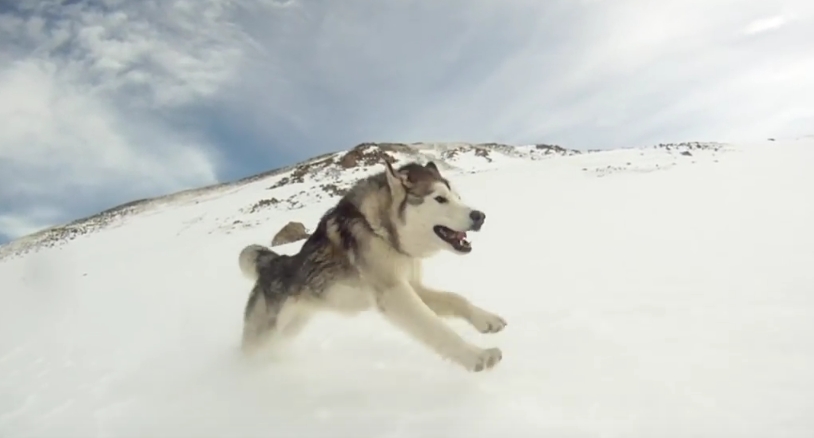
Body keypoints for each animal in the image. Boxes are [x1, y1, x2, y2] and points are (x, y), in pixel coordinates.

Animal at [237, 160, 507, 372]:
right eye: (440, 199)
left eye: (458, 198)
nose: (479, 216)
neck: (381, 232)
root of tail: (271, 262)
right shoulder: (394, 295)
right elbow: (436, 328)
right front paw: (477, 356)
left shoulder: (411, 286)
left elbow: (456, 299)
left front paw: (487, 320)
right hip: (262, 338)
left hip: (291, 329)